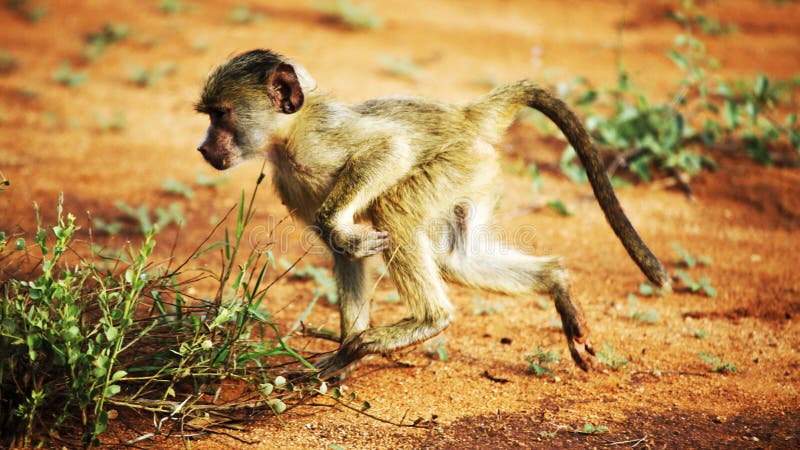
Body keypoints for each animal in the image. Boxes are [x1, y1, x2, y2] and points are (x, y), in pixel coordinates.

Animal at [195, 49, 671, 378]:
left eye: (222, 115)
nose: (203, 148)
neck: (288, 134)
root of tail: (465, 116)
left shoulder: (322, 138)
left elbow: (389, 150)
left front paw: (352, 346)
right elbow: (343, 253)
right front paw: (345, 354)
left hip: (459, 163)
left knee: (393, 210)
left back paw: (428, 320)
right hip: (475, 178)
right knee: (456, 260)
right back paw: (555, 282)